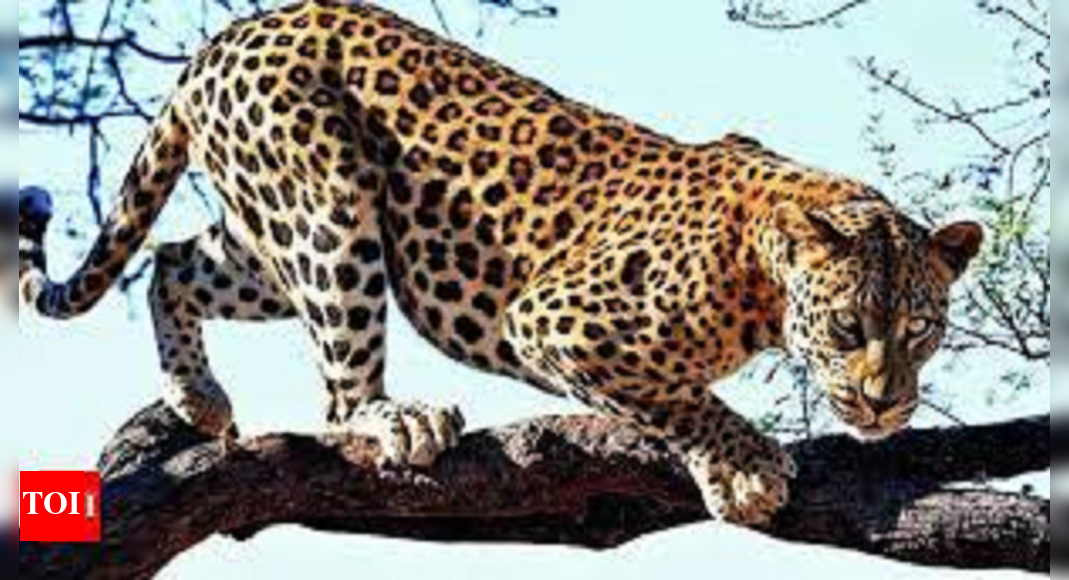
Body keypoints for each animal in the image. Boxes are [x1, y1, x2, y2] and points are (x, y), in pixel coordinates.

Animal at [17, 0, 983, 526]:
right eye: (847, 325)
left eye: (922, 330)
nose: (885, 402)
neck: (762, 275)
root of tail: (225, 38)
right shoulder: (555, 319)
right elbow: (680, 396)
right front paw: (742, 466)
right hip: (328, 209)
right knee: (335, 395)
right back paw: (395, 418)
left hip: (269, 236)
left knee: (172, 260)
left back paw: (199, 397)